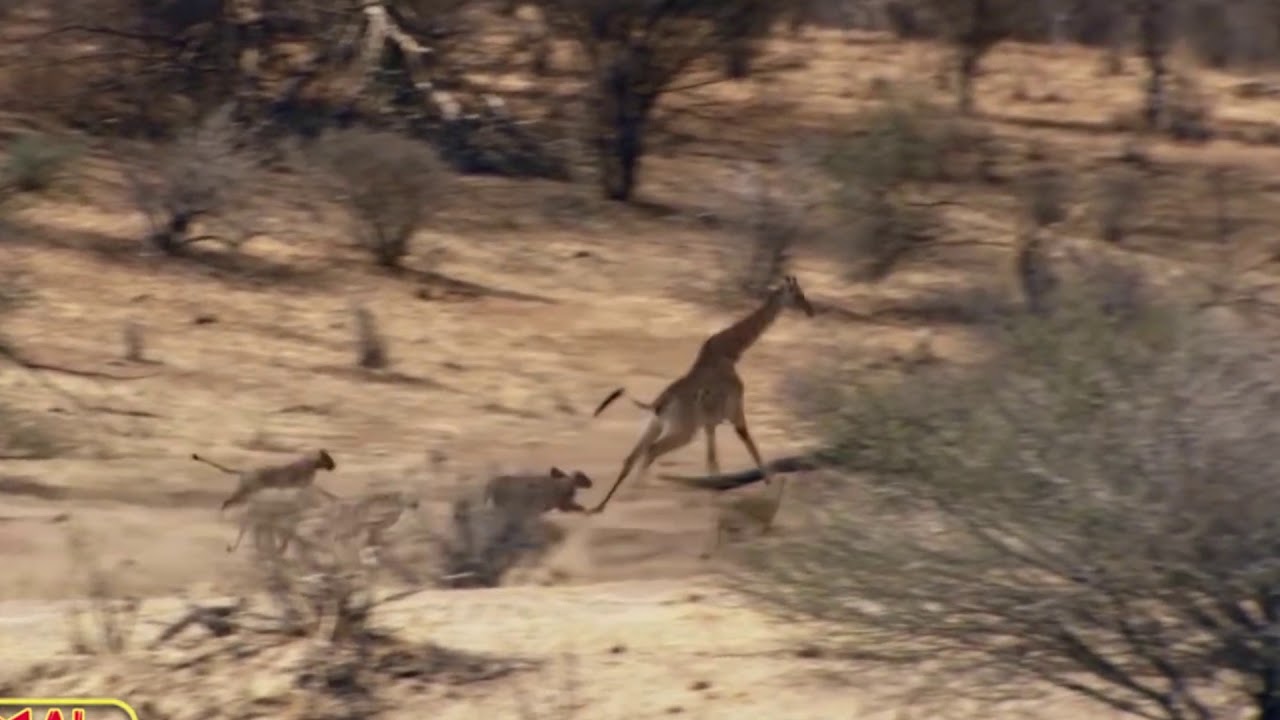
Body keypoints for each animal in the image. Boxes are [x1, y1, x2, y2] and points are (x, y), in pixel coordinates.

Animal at [590, 275, 815, 514]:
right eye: (798, 294)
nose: (811, 310)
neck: (732, 353)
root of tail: (657, 403)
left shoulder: (710, 423)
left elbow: (712, 461)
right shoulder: (735, 412)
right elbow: (750, 447)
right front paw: (770, 491)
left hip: (656, 424)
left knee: (631, 457)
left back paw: (601, 506)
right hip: (684, 430)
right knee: (651, 451)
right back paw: (635, 497)